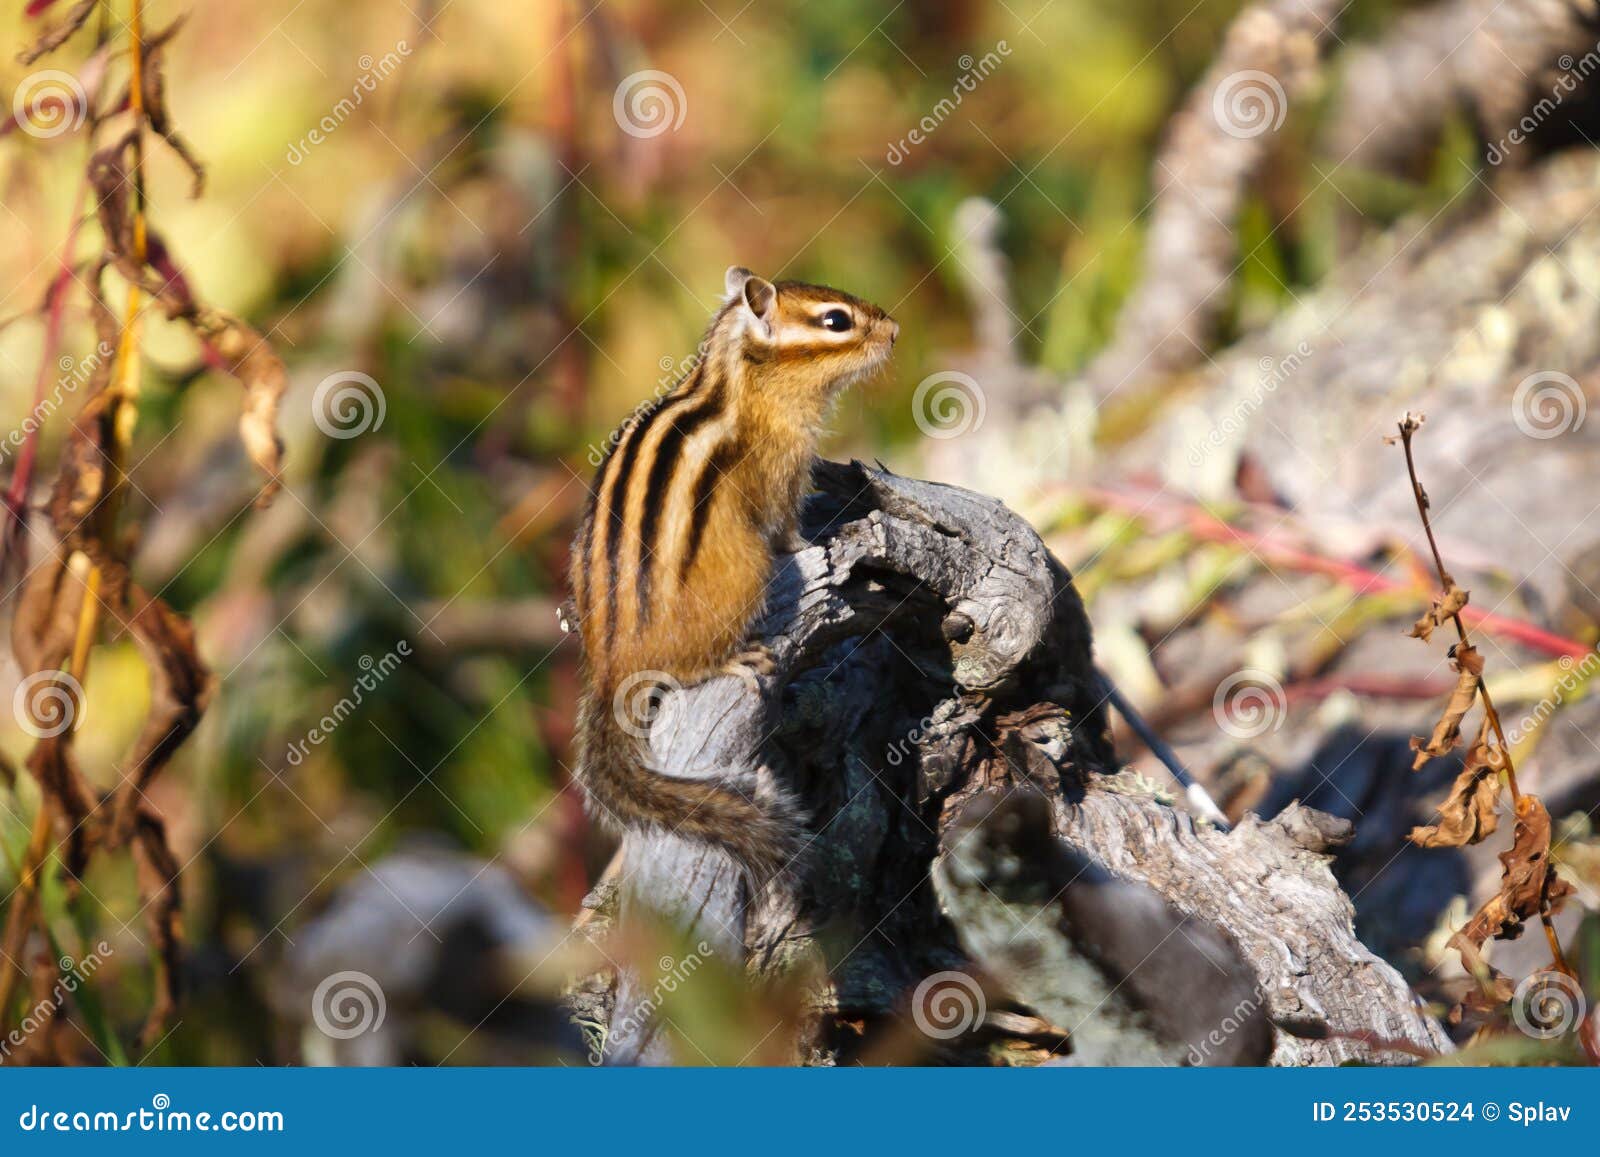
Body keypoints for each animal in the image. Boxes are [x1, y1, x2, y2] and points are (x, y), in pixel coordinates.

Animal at [570, 266, 899, 887]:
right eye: (836, 320)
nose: (893, 331)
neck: (737, 380)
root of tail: (610, 668)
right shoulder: (783, 468)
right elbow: (786, 526)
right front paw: (812, 542)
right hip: (744, 574)